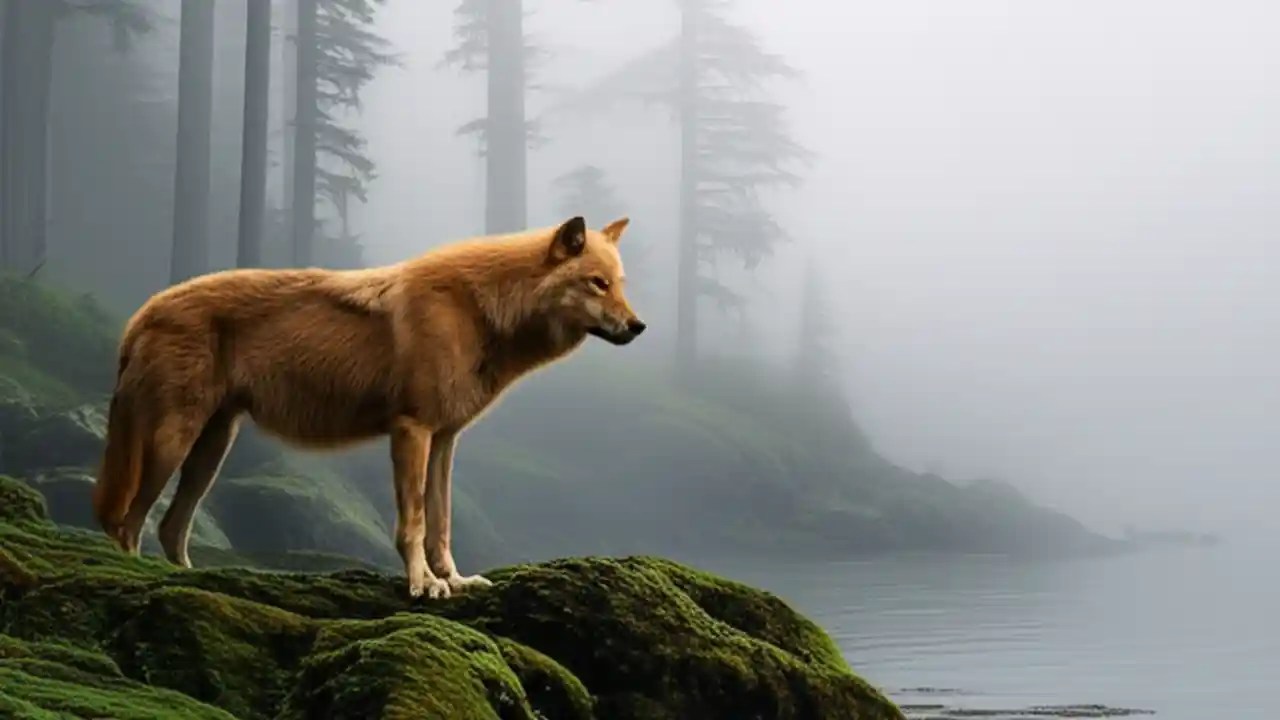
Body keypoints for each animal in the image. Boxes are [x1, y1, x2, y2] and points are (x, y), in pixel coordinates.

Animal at [91, 216, 644, 598]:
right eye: (597, 283)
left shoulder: (444, 441)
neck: (479, 310)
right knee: (127, 522)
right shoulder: (412, 431)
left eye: (620, 284)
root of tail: (141, 313)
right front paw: (423, 585)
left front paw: (455, 580)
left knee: (169, 527)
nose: (638, 327)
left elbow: (442, 525)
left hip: (212, 450)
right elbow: (414, 524)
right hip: (170, 444)